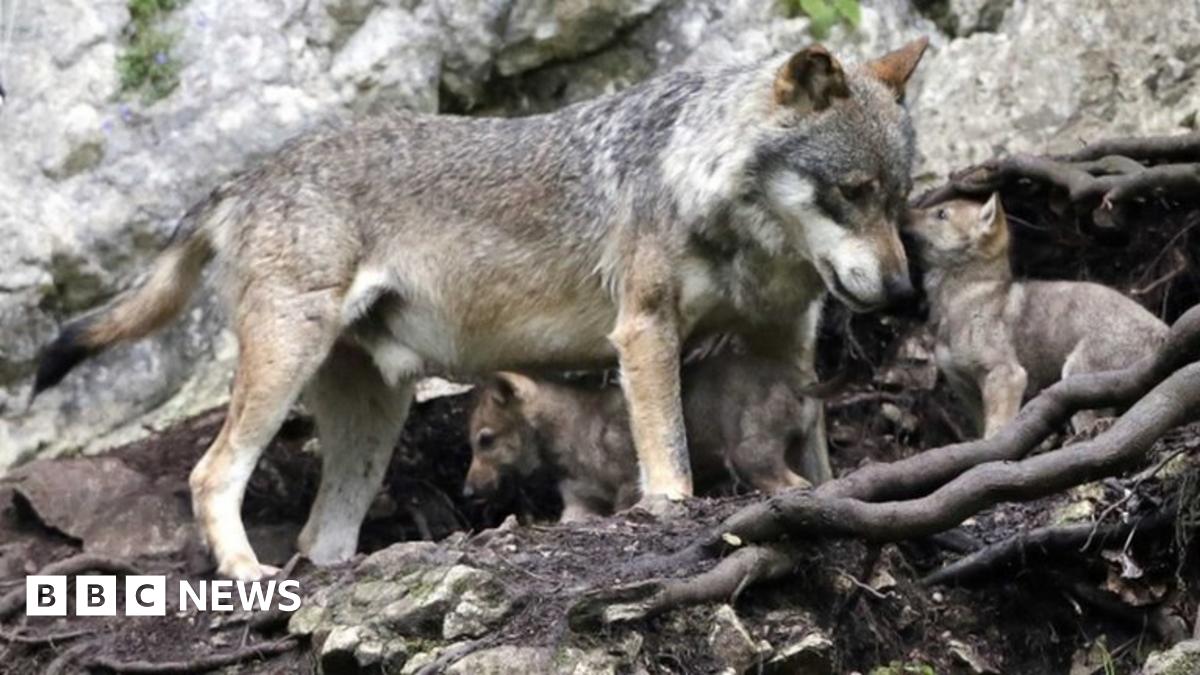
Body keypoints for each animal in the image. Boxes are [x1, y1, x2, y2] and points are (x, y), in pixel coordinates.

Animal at [465, 354, 830, 521]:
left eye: (486, 439)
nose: (466, 492)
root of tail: (800, 383)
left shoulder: (629, 486)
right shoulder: (579, 504)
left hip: (751, 455)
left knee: (796, 485)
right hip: (800, 448)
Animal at [905, 194, 1169, 438]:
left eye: (941, 214)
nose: (902, 214)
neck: (964, 298)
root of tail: (1164, 333)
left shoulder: (1007, 374)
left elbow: (997, 431)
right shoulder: (966, 388)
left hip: (1077, 373)